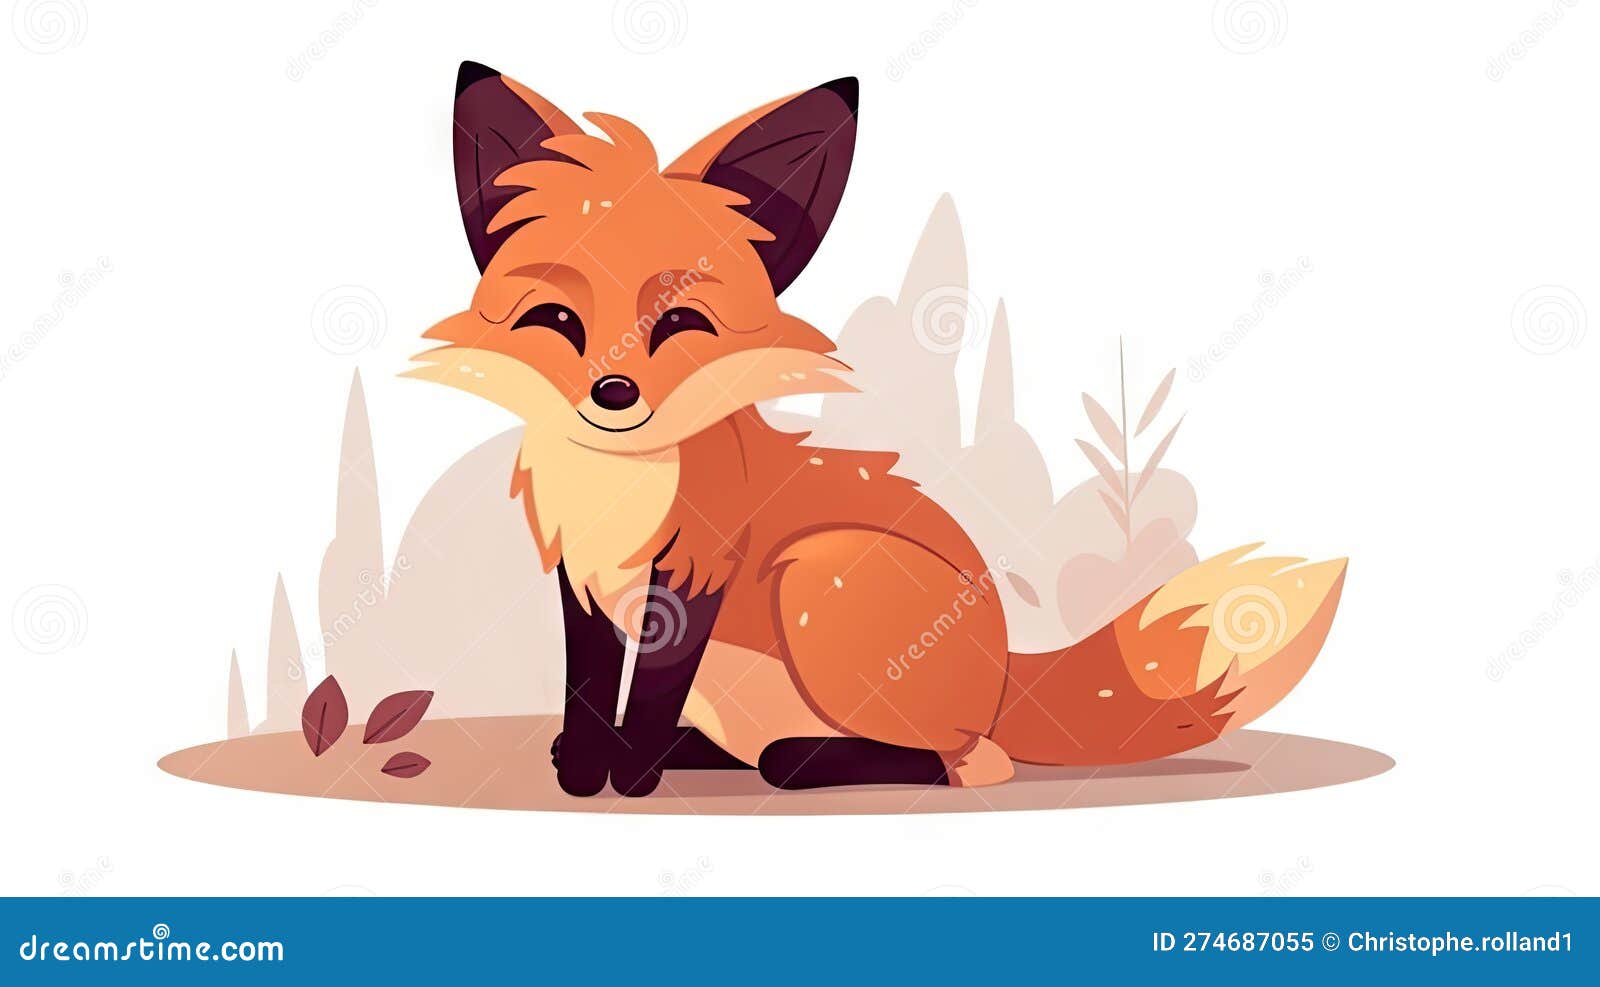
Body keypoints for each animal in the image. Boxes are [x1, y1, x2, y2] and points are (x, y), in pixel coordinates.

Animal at [408, 62, 1348, 797]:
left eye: (681, 324)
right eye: (556, 319)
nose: (612, 391)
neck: (623, 483)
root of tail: (1006, 678)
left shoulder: (698, 568)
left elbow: (647, 691)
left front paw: (629, 773)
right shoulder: (582, 573)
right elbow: (589, 680)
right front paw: (586, 765)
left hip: (815, 574)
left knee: (969, 763)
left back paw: (790, 761)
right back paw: (703, 753)